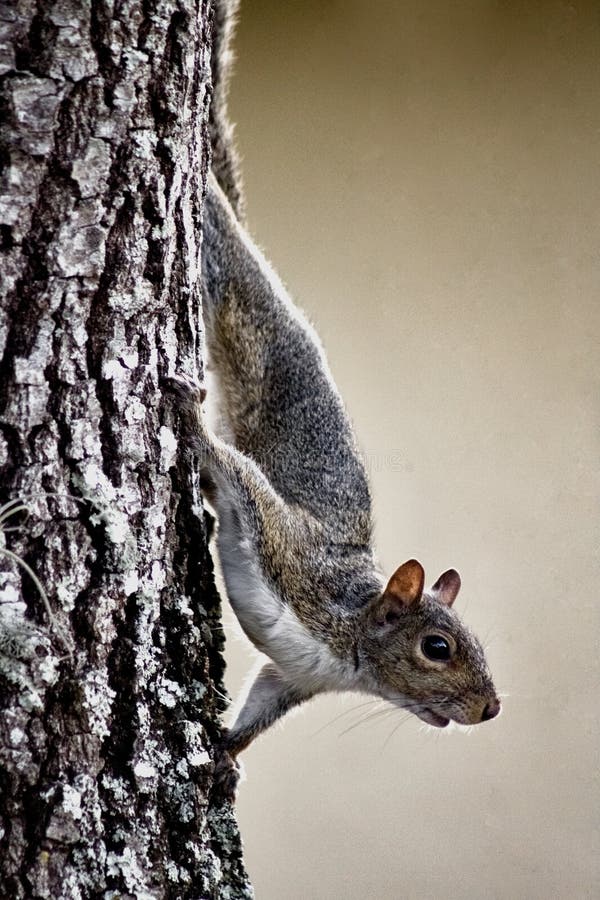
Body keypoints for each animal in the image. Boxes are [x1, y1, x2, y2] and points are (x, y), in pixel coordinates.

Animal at [169, 0, 501, 793]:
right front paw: (190, 424)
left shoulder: (293, 678)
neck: (348, 641)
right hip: (234, 290)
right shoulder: (289, 556)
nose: (491, 708)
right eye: (437, 648)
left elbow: (261, 707)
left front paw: (223, 754)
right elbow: (246, 482)